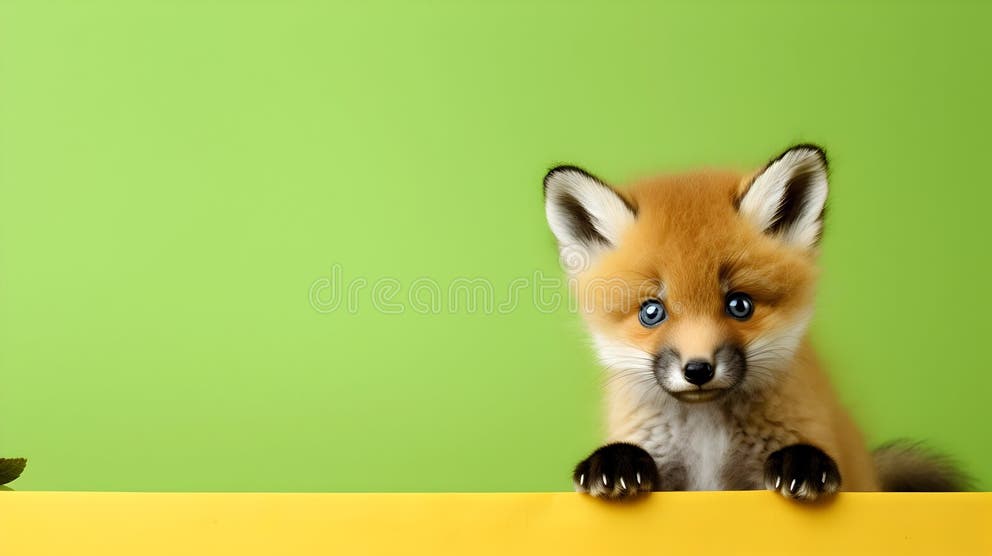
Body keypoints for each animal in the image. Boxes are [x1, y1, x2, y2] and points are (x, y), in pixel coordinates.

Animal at [543, 145, 967, 501]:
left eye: (739, 305)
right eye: (651, 312)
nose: (698, 370)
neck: (707, 436)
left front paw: (803, 464)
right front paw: (616, 462)